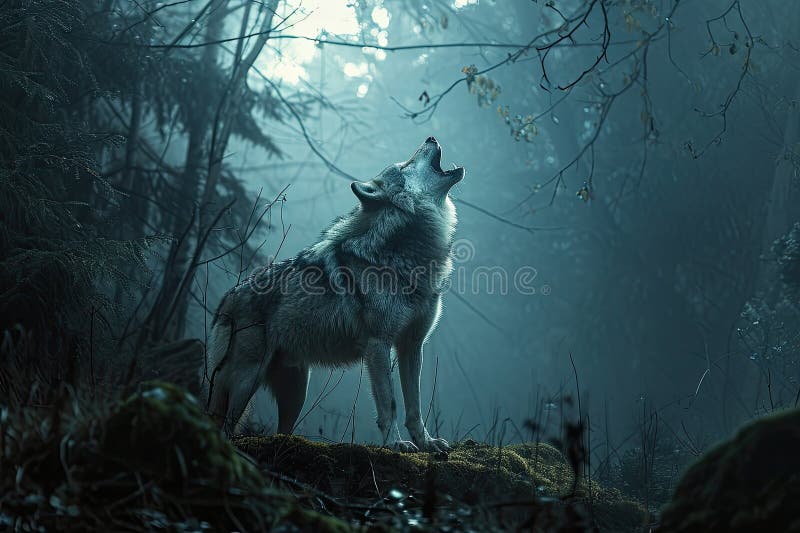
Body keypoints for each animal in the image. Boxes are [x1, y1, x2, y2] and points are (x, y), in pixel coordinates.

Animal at [202, 137, 463, 452]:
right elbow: (389, 403)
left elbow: (415, 405)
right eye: (405, 165)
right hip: (245, 383)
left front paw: (426, 443)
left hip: (296, 392)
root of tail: (227, 299)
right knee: (226, 428)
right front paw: (396, 443)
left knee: (280, 430)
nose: (430, 138)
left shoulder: (412, 346)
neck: (405, 253)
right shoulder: (378, 344)